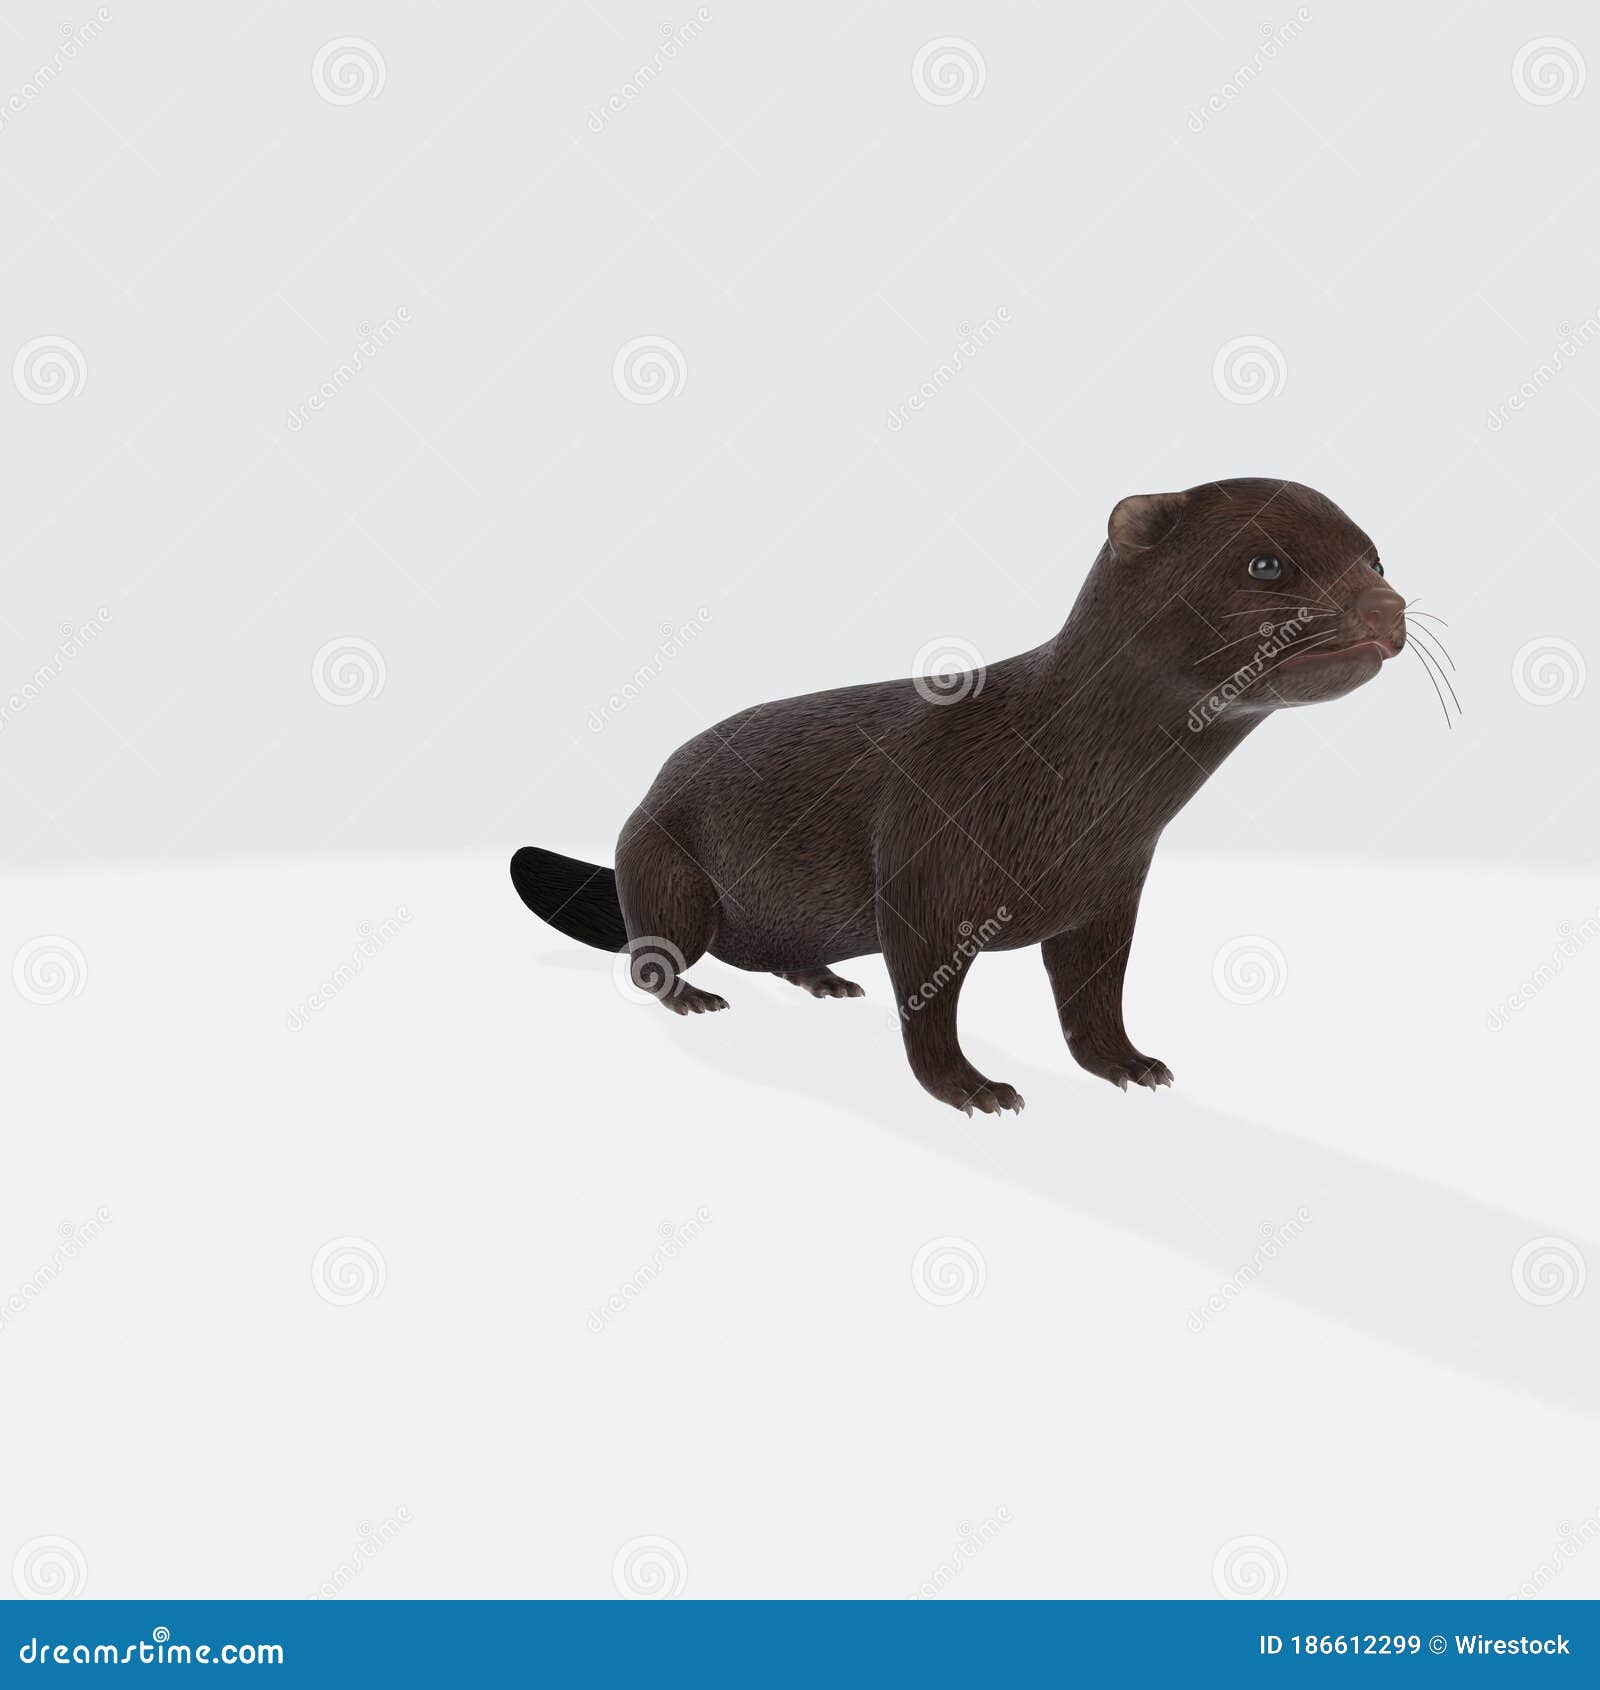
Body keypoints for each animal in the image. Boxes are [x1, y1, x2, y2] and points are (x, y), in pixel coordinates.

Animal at [512, 479, 1404, 1114]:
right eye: (1266, 563)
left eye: (1376, 559)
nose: (1387, 609)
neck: (1085, 803)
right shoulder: (922, 854)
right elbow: (925, 997)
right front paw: (972, 1088)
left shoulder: (1112, 892)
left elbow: (1094, 996)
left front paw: (1130, 1063)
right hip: (666, 862)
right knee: (648, 953)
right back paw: (696, 995)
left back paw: (825, 979)